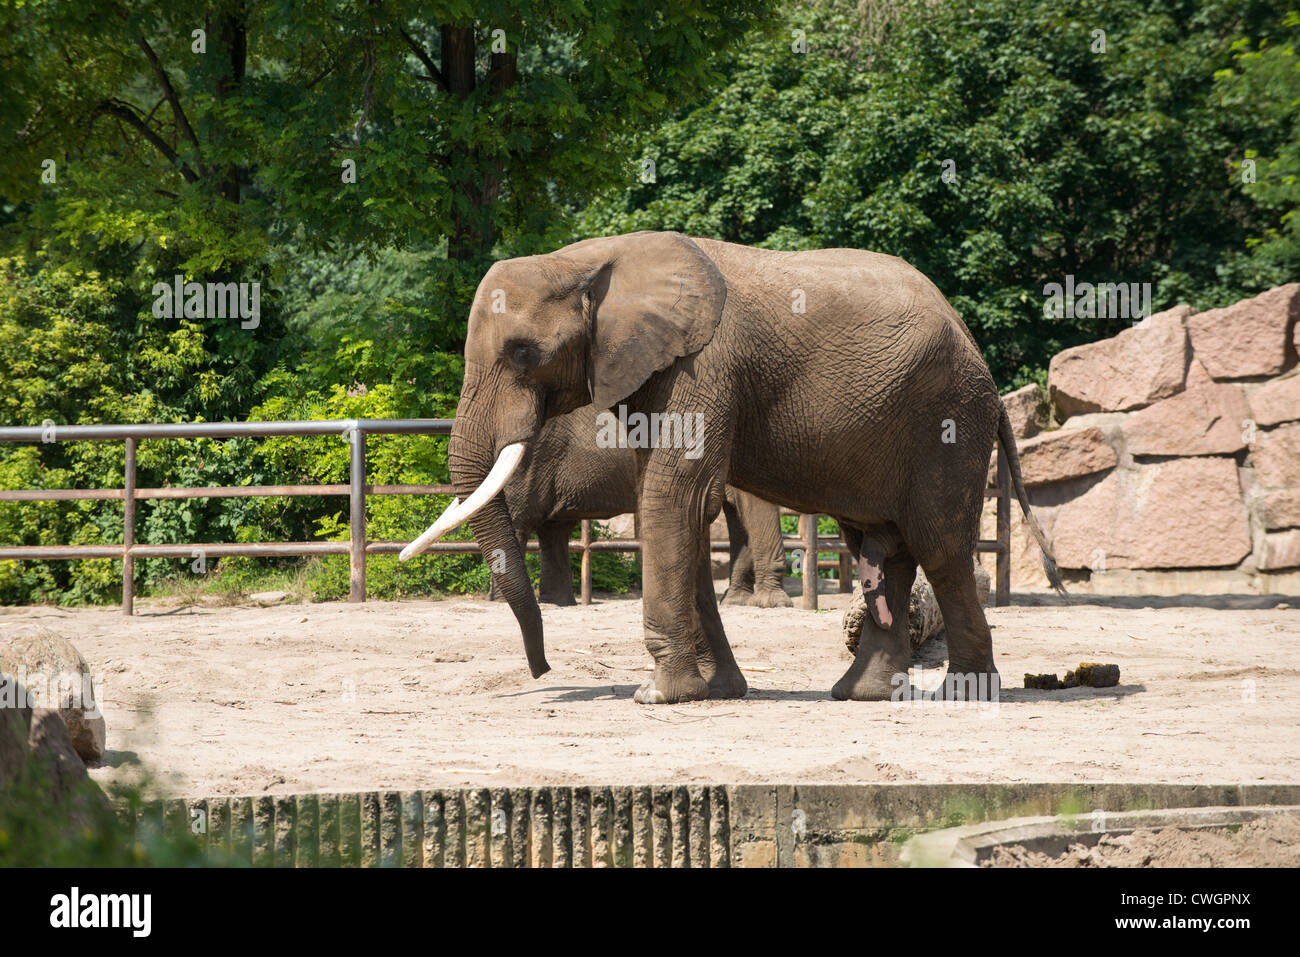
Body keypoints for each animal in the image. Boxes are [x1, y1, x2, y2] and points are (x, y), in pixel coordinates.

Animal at [488, 403, 791, 608]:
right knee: (523, 519)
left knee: (554, 529)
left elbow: (741, 516)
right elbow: (755, 507)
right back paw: (507, 602)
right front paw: (773, 602)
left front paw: (736, 600)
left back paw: (556, 603)